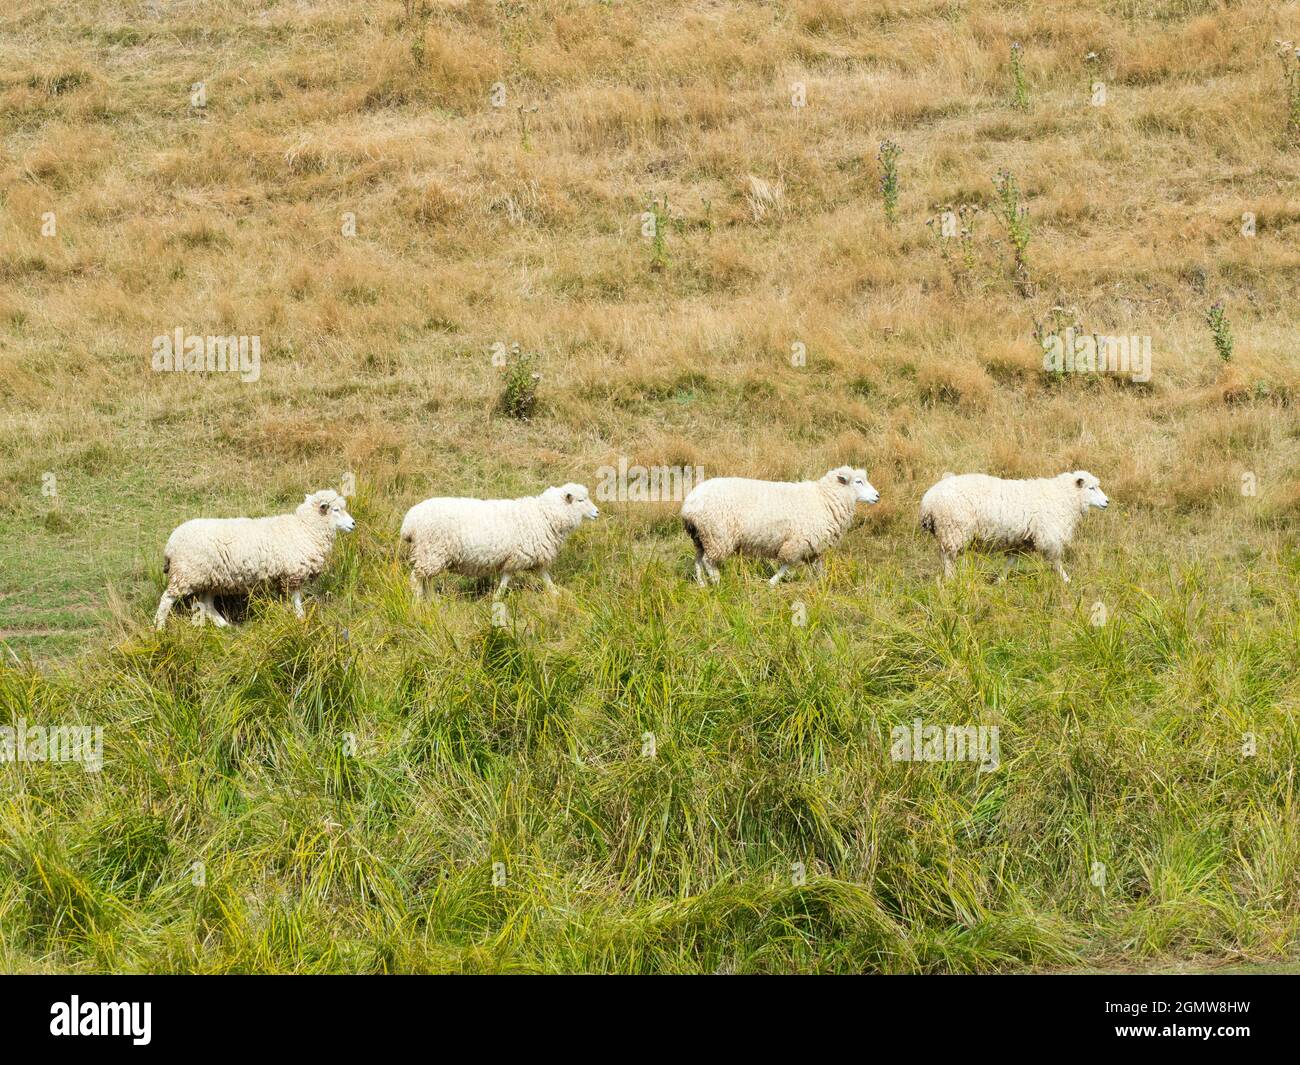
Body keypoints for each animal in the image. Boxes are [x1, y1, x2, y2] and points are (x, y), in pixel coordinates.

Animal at [153, 489, 355, 629]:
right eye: (336, 509)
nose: (354, 524)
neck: (305, 528)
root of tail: (171, 543)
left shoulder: (282, 577)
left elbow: (286, 601)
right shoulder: (293, 574)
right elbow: (297, 600)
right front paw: (301, 619)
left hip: (210, 578)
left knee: (206, 604)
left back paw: (225, 626)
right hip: (186, 573)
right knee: (166, 599)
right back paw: (159, 628)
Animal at [400, 483, 599, 599]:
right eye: (581, 500)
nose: (597, 512)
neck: (544, 515)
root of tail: (409, 522)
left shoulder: (526, 556)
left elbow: (543, 577)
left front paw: (556, 594)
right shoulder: (519, 555)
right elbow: (508, 578)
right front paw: (497, 597)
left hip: (431, 554)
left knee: (426, 579)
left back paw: (432, 600)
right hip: (431, 551)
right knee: (416, 579)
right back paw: (418, 603)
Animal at [680, 466, 880, 586]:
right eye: (858, 481)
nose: (877, 496)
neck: (824, 499)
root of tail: (689, 504)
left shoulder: (814, 547)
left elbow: (818, 568)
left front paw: (822, 585)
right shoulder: (798, 541)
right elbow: (787, 564)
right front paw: (772, 582)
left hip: (701, 536)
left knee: (698, 560)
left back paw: (702, 584)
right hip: (717, 535)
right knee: (708, 561)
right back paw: (717, 581)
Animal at [918, 471, 1109, 583]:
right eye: (1091, 488)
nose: (1107, 502)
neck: (1063, 497)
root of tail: (928, 501)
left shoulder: (1019, 540)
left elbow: (1010, 561)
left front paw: (1000, 581)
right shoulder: (1048, 537)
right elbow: (1056, 562)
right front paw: (1067, 581)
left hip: (950, 531)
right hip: (953, 529)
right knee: (948, 559)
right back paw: (951, 580)